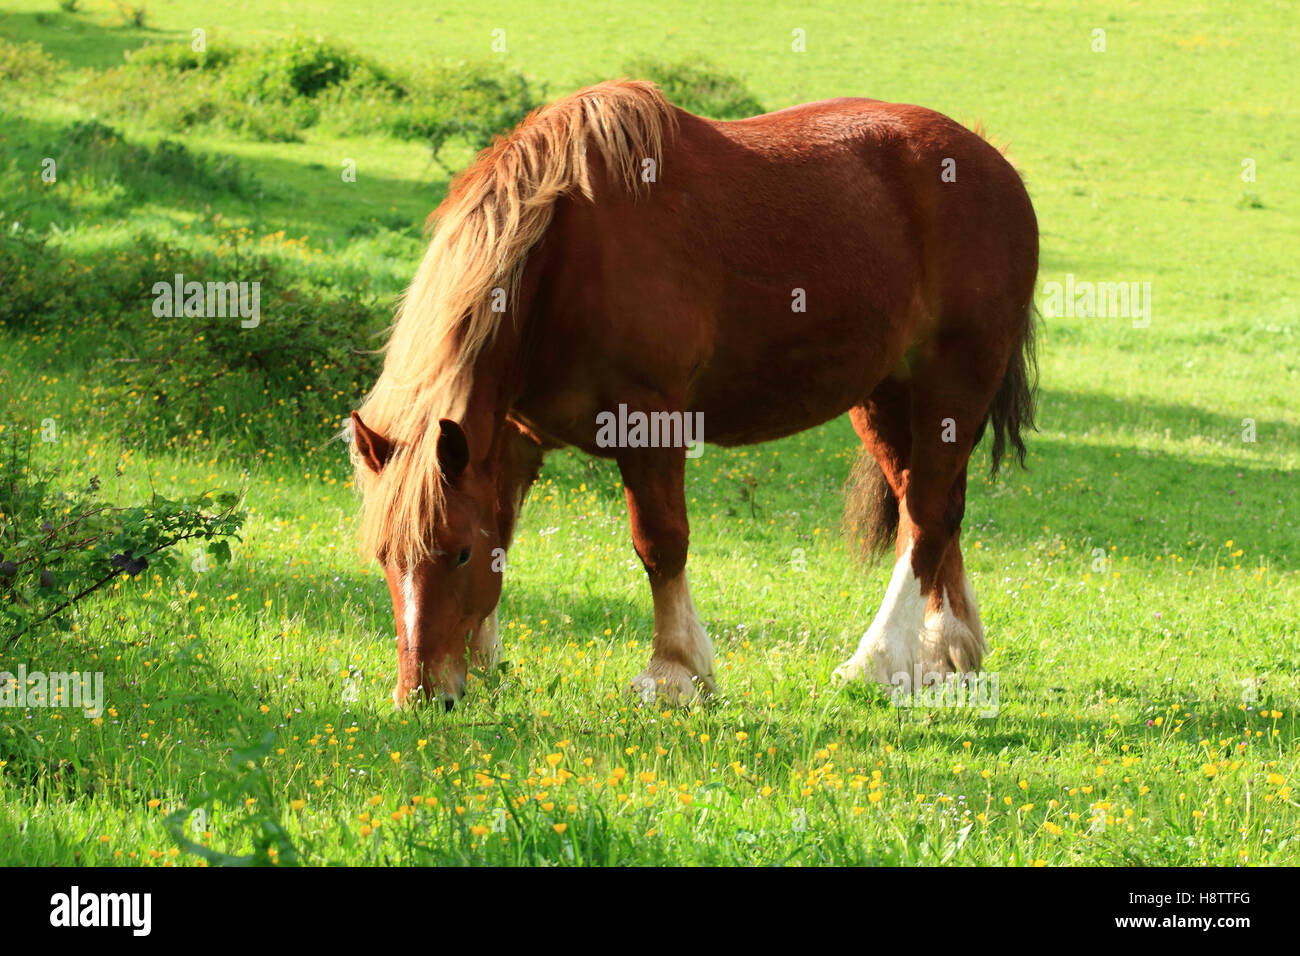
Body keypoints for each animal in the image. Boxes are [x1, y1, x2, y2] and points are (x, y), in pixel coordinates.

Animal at [349, 80, 1038, 710]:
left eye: (458, 554)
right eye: (384, 556)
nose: (422, 694)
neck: (561, 257)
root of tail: (993, 161)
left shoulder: (648, 421)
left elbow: (660, 542)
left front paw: (675, 671)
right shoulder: (514, 438)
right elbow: (508, 529)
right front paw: (486, 659)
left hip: (954, 381)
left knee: (926, 514)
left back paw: (875, 661)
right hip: (887, 399)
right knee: (936, 510)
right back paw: (944, 655)